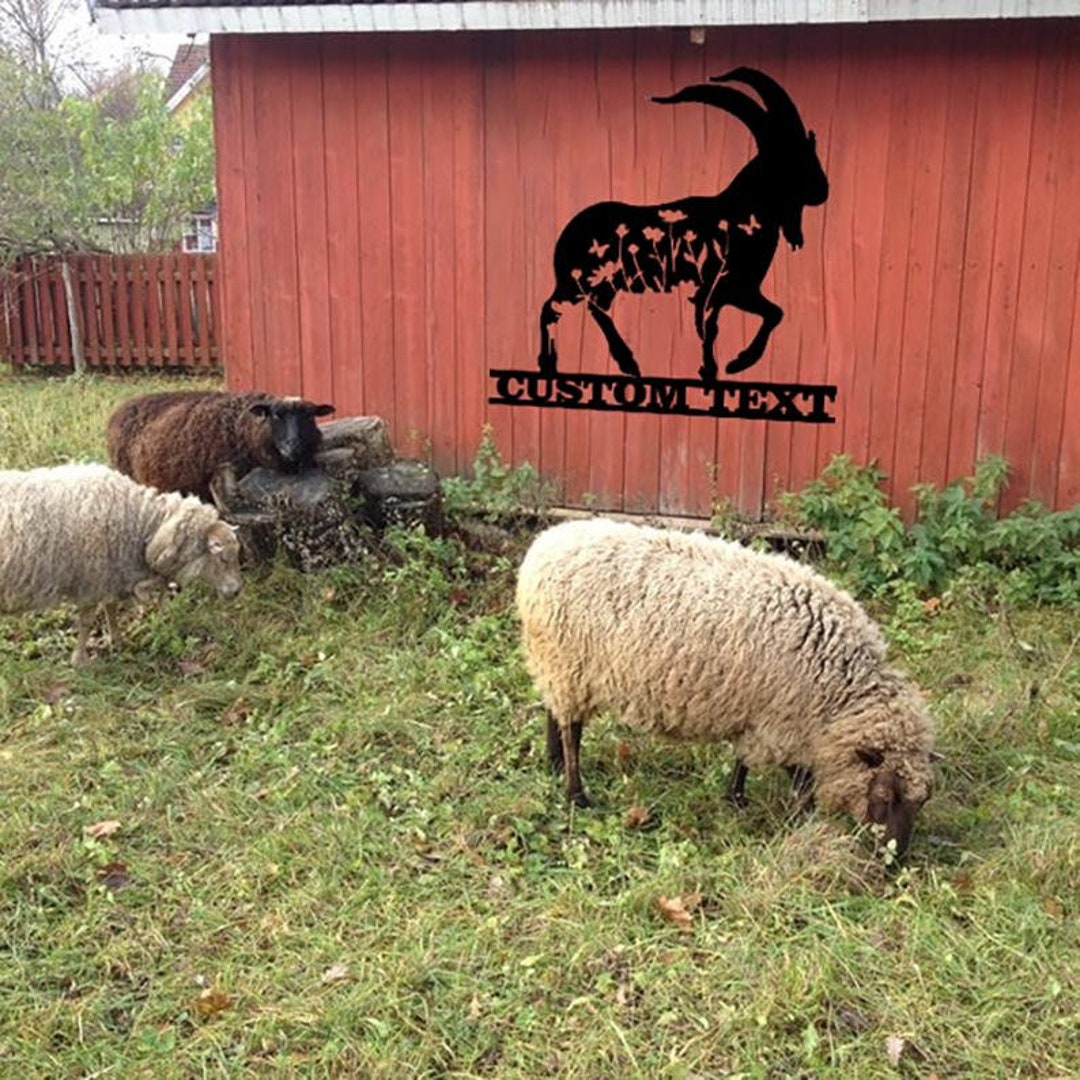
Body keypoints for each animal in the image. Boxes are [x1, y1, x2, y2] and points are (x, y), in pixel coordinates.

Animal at [537, 67, 829, 382]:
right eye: (788, 159)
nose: (822, 191)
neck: (739, 214)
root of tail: (565, 235)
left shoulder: (737, 292)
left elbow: (770, 313)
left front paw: (725, 366)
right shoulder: (723, 289)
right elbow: (716, 325)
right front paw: (724, 367)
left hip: (602, 285)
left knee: (595, 309)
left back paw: (628, 363)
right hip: (576, 283)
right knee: (550, 309)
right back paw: (553, 365)